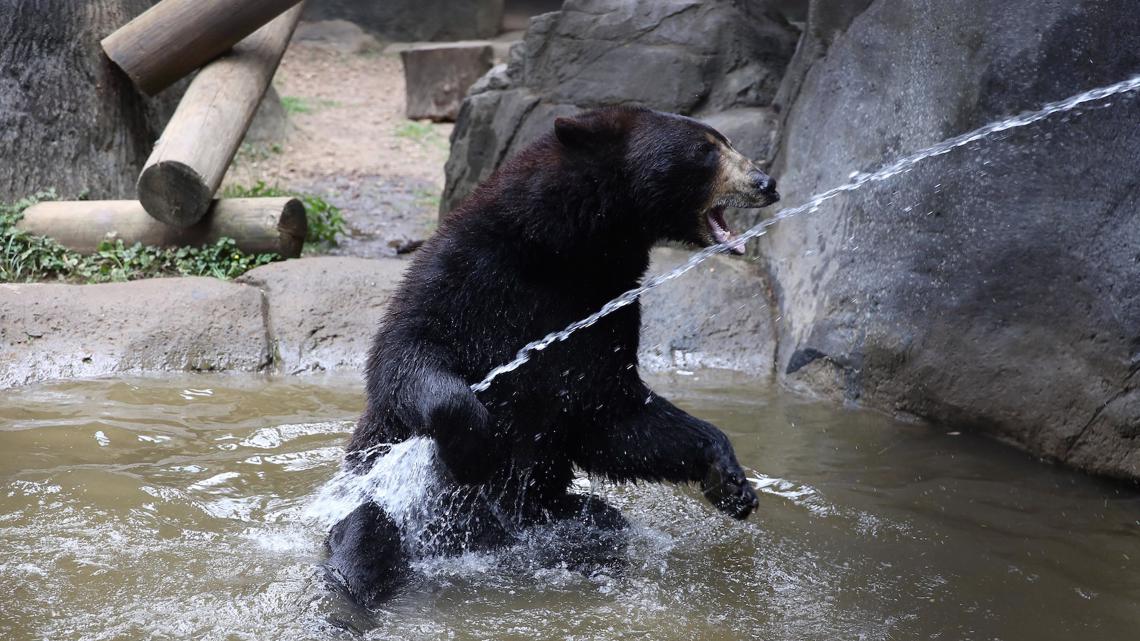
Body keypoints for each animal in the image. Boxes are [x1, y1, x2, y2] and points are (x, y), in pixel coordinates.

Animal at [325, 106, 780, 606]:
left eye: (722, 141)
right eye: (706, 149)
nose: (766, 182)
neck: (564, 249)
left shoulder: (604, 309)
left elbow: (611, 414)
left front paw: (731, 479)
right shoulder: (467, 272)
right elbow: (409, 354)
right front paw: (474, 448)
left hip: (555, 513)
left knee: (602, 521)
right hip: (387, 512)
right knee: (365, 541)